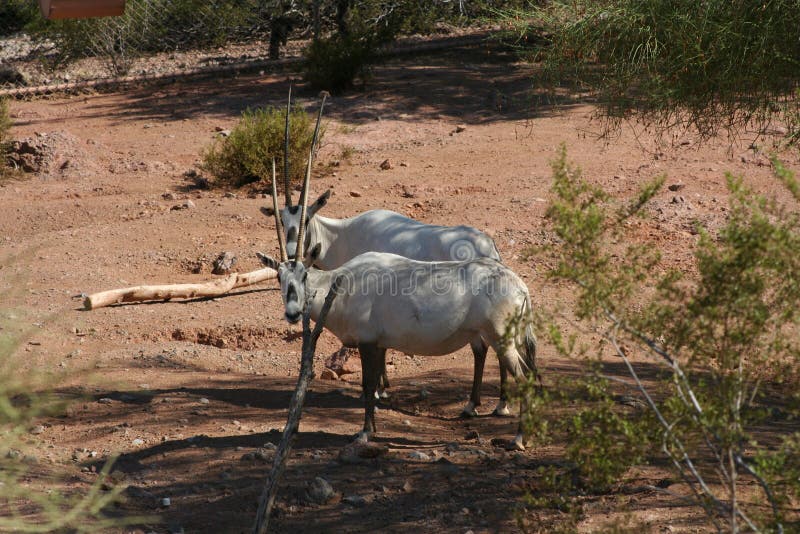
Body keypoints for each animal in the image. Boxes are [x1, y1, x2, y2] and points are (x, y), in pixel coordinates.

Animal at [260, 97, 539, 449]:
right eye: (279, 278)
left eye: (304, 274)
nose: (293, 313)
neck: (341, 279)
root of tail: (519, 286)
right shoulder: (379, 343)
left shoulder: (367, 342)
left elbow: (367, 386)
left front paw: (365, 431)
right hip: (501, 337)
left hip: (500, 337)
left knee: (520, 375)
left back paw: (517, 436)